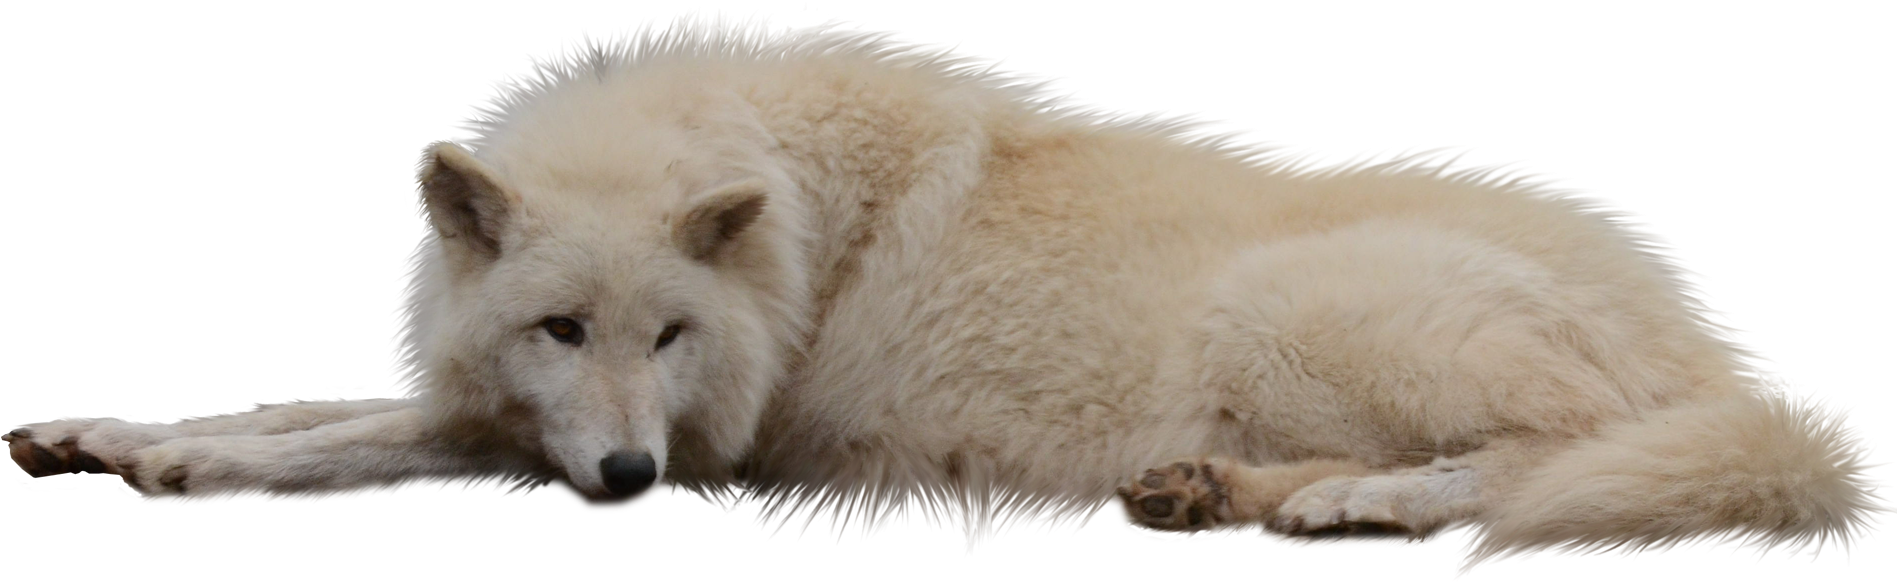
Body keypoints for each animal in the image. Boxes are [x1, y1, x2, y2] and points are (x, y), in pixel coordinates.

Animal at [6, 9, 1887, 577]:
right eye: (562, 329)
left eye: (668, 338)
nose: (616, 477)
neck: (794, 225)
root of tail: (1739, 350)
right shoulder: (520, 404)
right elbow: (307, 404)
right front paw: (104, 437)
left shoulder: (705, 461)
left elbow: (349, 444)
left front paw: (182, 470)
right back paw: (1210, 495)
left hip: (1288, 306)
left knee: (1531, 465)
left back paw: (1335, 500)